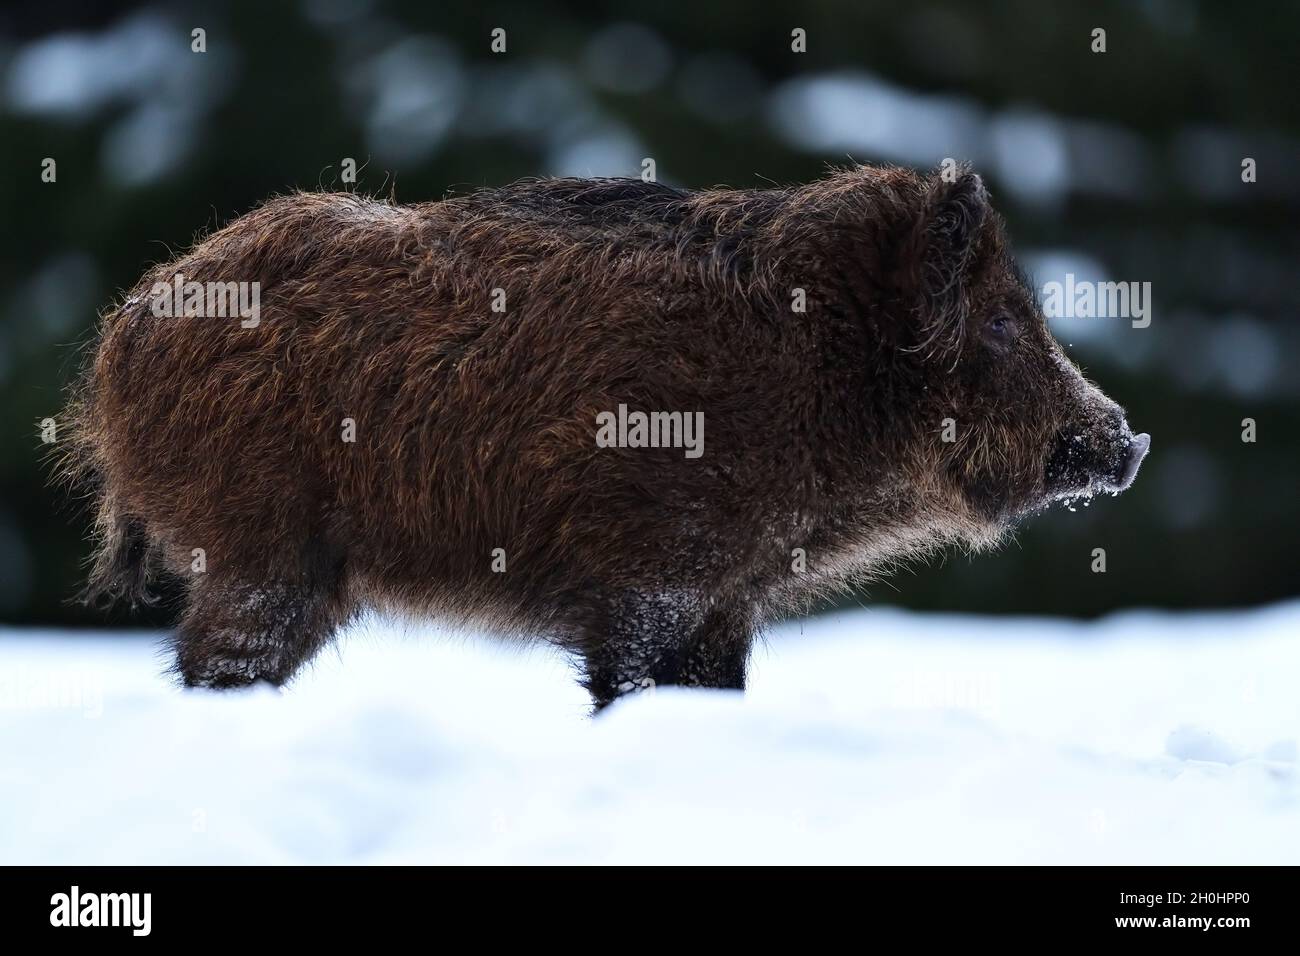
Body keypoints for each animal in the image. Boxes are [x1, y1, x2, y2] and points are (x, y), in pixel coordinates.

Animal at [59, 165, 1149, 709]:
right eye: (999, 321)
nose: (1128, 442)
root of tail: (124, 330)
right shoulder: (648, 577)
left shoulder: (720, 606)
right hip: (261, 554)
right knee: (212, 663)